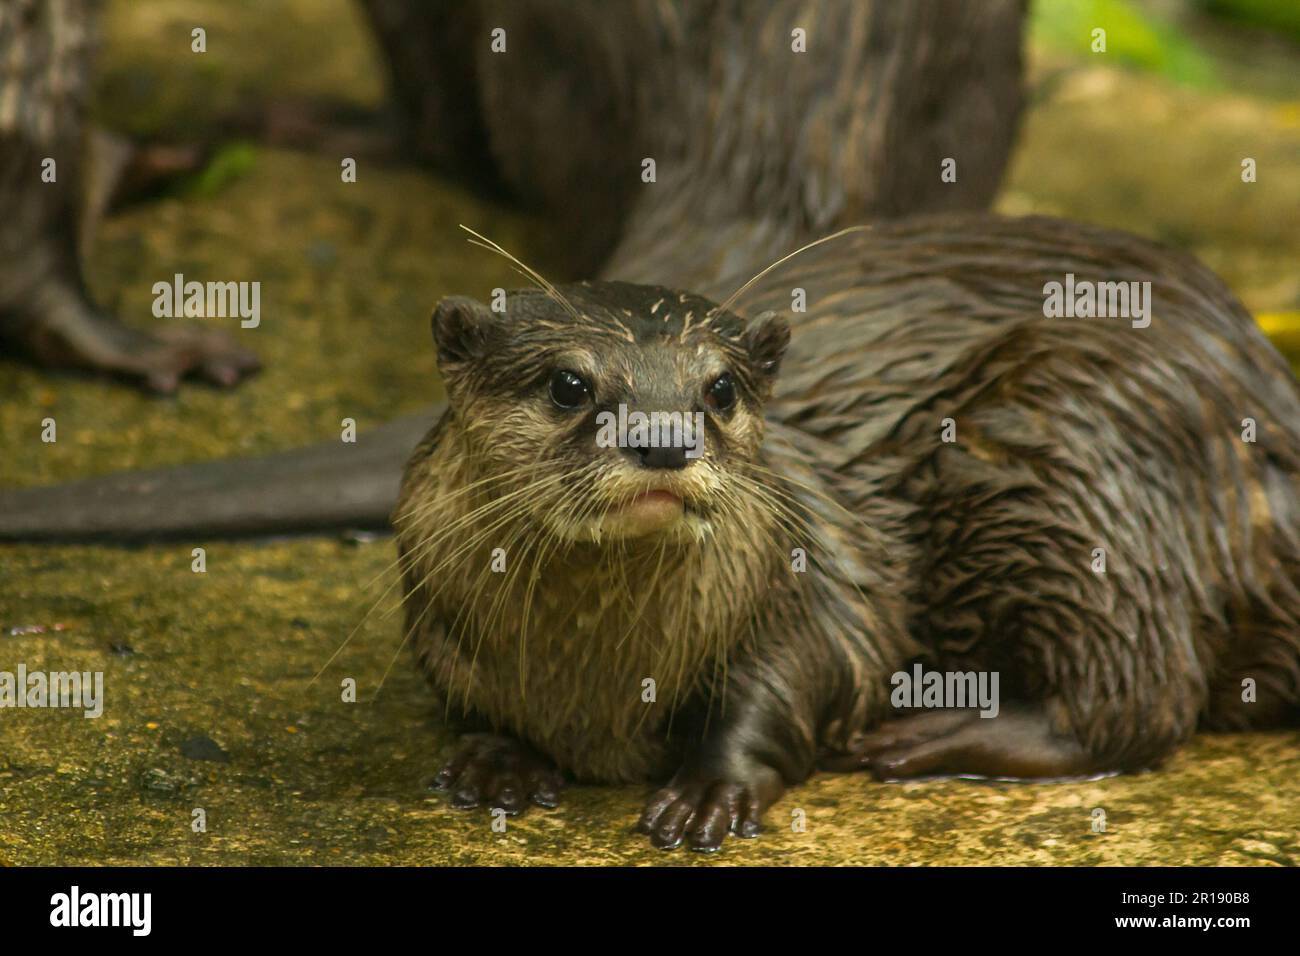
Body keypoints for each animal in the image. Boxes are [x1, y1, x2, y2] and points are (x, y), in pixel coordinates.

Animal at [396, 214, 1300, 851]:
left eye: (719, 390)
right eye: (569, 384)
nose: (664, 438)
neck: (601, 679)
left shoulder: (815, 582)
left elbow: (801, 675)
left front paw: (712, 787)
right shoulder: (440, 632)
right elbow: (472, 703)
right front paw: (497, 757)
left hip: (1074, 448)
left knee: (1141, 694)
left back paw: (936, 732)